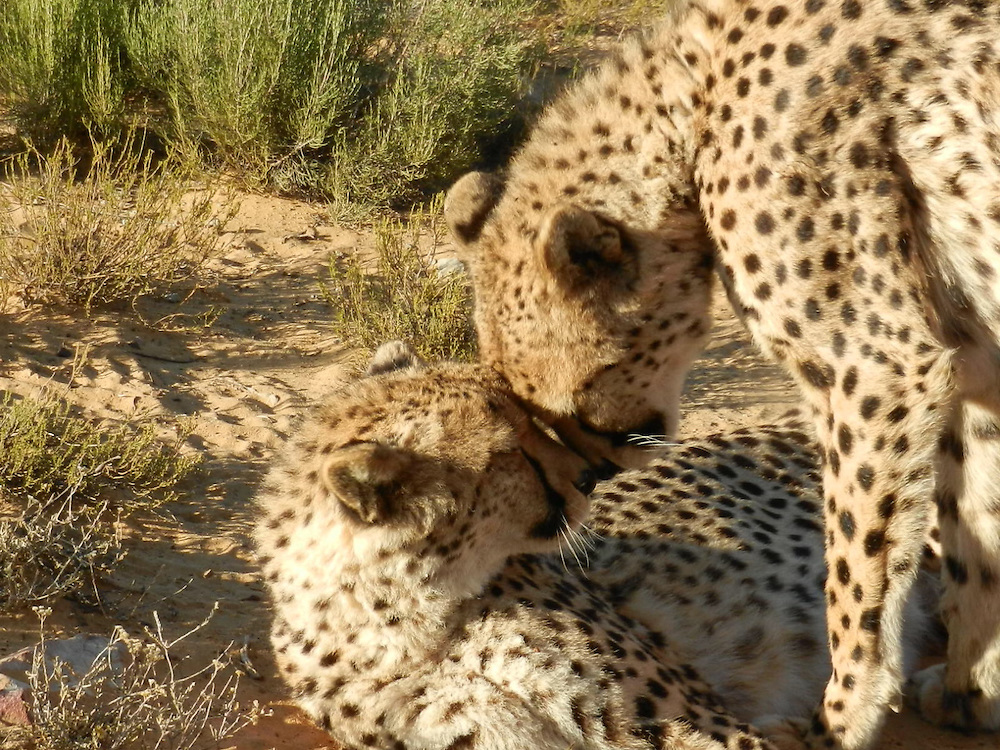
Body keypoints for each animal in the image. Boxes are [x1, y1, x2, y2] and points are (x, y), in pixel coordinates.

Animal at [443, 1, 1000, 748]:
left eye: (580, 401)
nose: (594, 476)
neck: (690, 99)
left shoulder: (877, 367)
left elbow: (856, 573)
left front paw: (836, 723)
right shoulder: (971, 359)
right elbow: (977, 535)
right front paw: (973, 692)